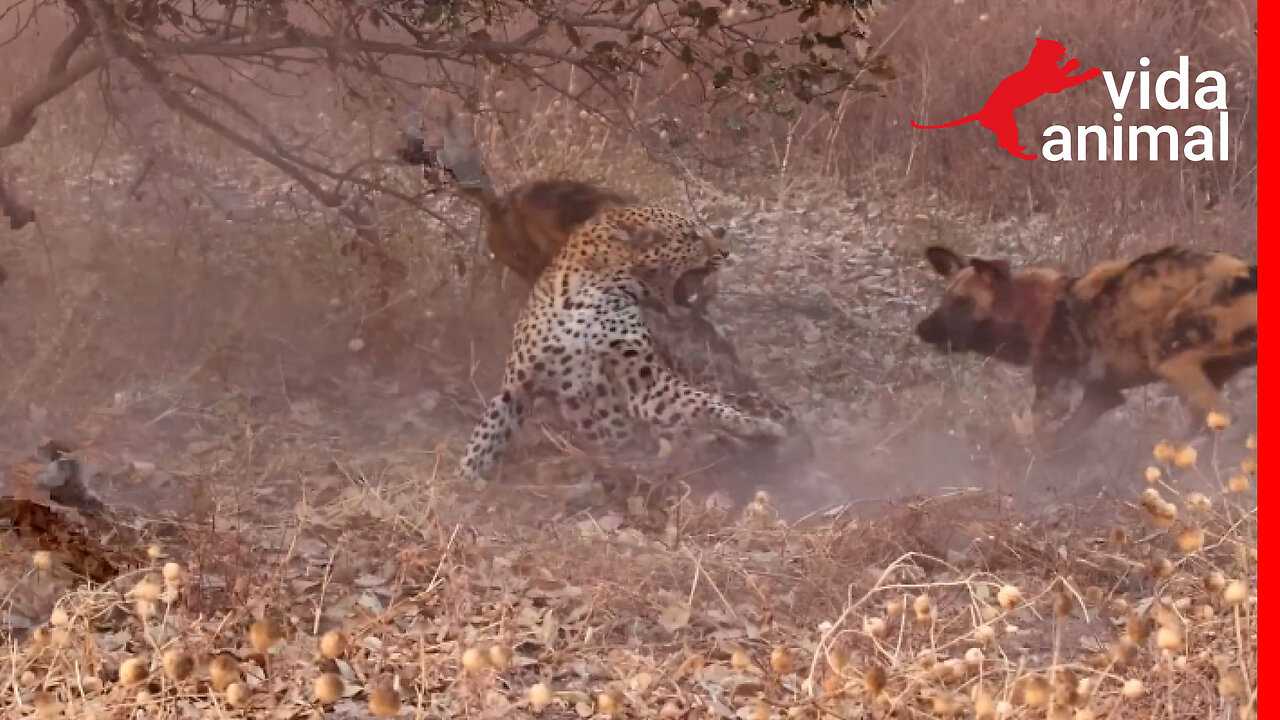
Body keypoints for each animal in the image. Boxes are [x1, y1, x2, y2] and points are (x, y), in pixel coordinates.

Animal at [457, 205, 799, 482]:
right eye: (690, 235)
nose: (726, 252)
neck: (592, 297)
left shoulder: (643, 380)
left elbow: (703, 403)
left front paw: (758, 427)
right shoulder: (519, 384)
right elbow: (488, 431)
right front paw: (464, 476)